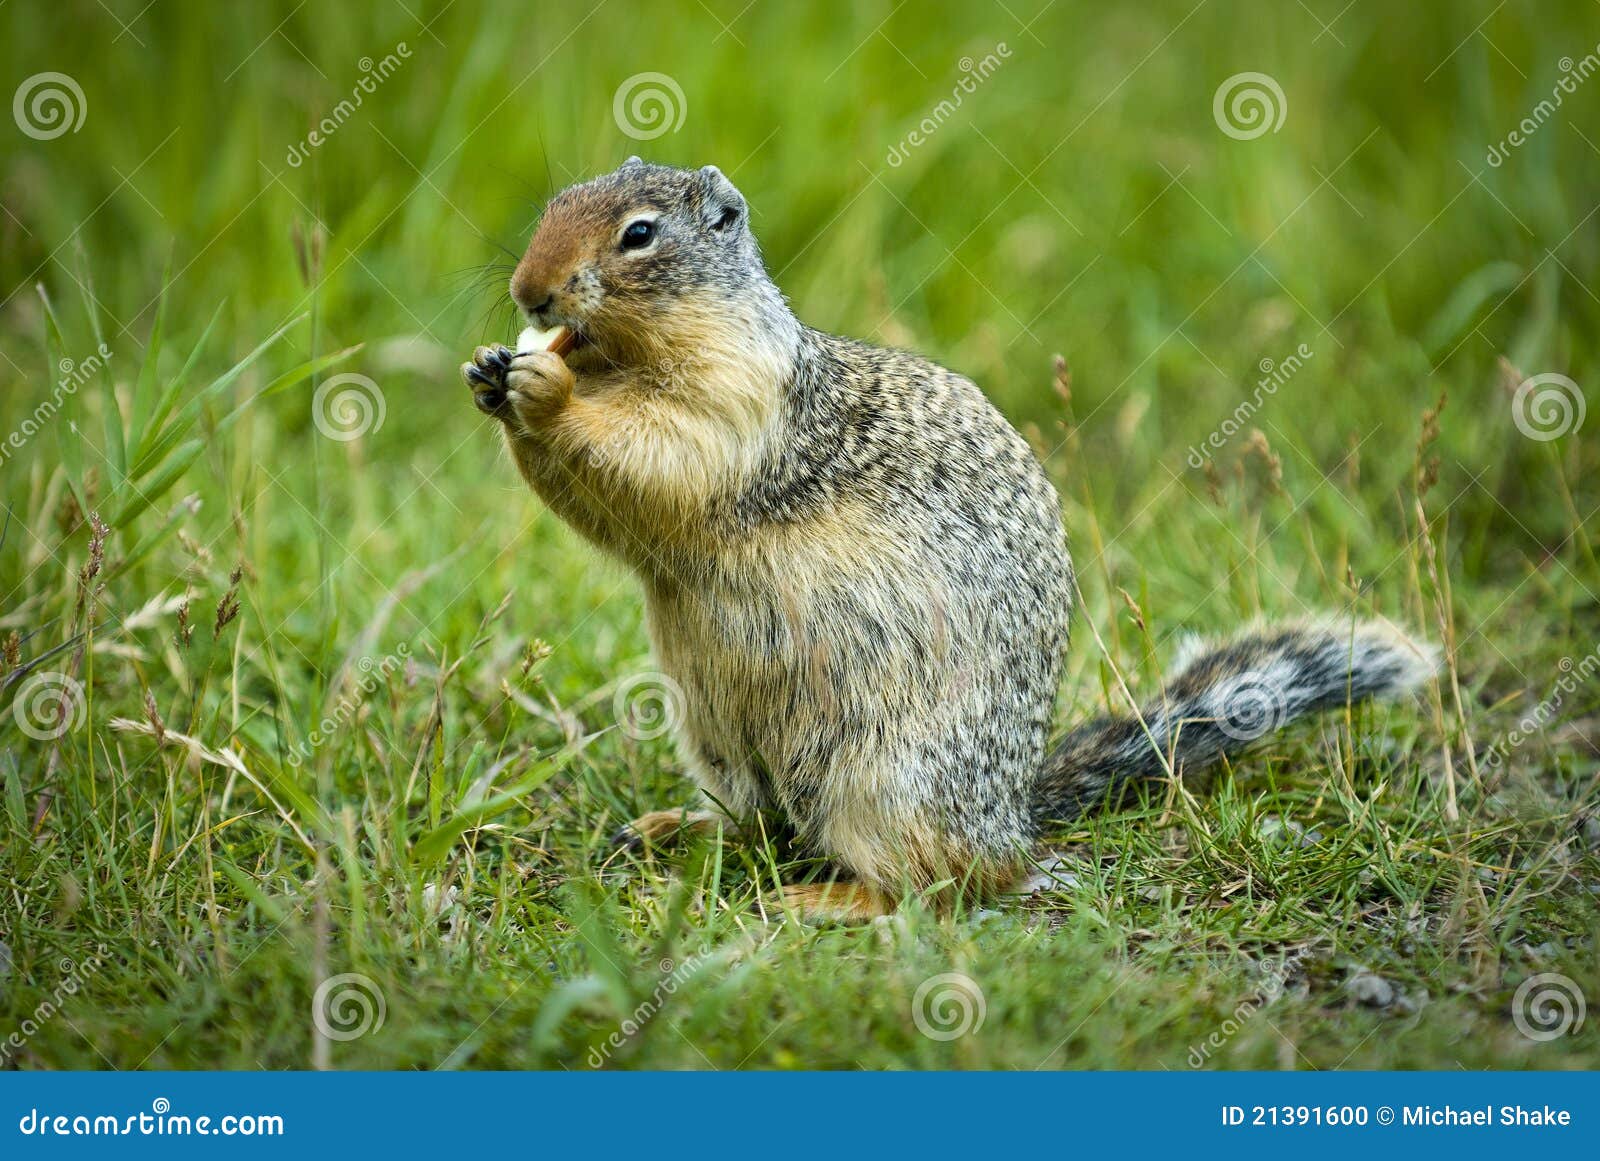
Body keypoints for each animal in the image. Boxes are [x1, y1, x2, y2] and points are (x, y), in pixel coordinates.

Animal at [462, 158, 1438, 921]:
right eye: (558, 198)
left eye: (638, 234)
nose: (526, 292)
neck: (620, 361)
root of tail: (1017, 813)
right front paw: (490, 371)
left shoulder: (735, 403)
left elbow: (660, 454)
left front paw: (542, 386)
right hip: (716, 739)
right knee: (757, 822)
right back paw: (670, 828)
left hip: (891, 782)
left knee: (948, 881)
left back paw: (828, 897)